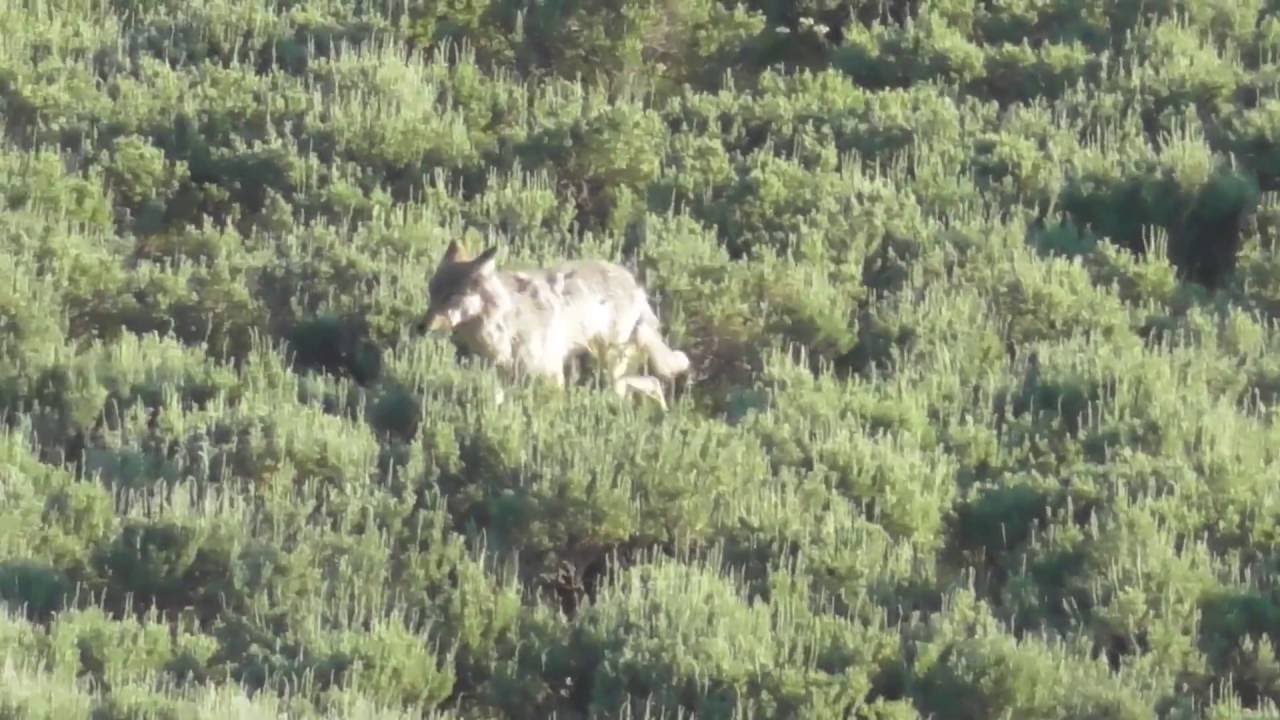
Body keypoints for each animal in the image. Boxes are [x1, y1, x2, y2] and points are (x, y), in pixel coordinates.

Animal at [414, 241, 691, 408]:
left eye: (451, 297)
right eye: (431, 293)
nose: (421, 326)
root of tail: (637, 285)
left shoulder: (551, 376)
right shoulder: (503, 377)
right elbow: (499, 404)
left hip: (612, 369)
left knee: (644, 385)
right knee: (651, 384)